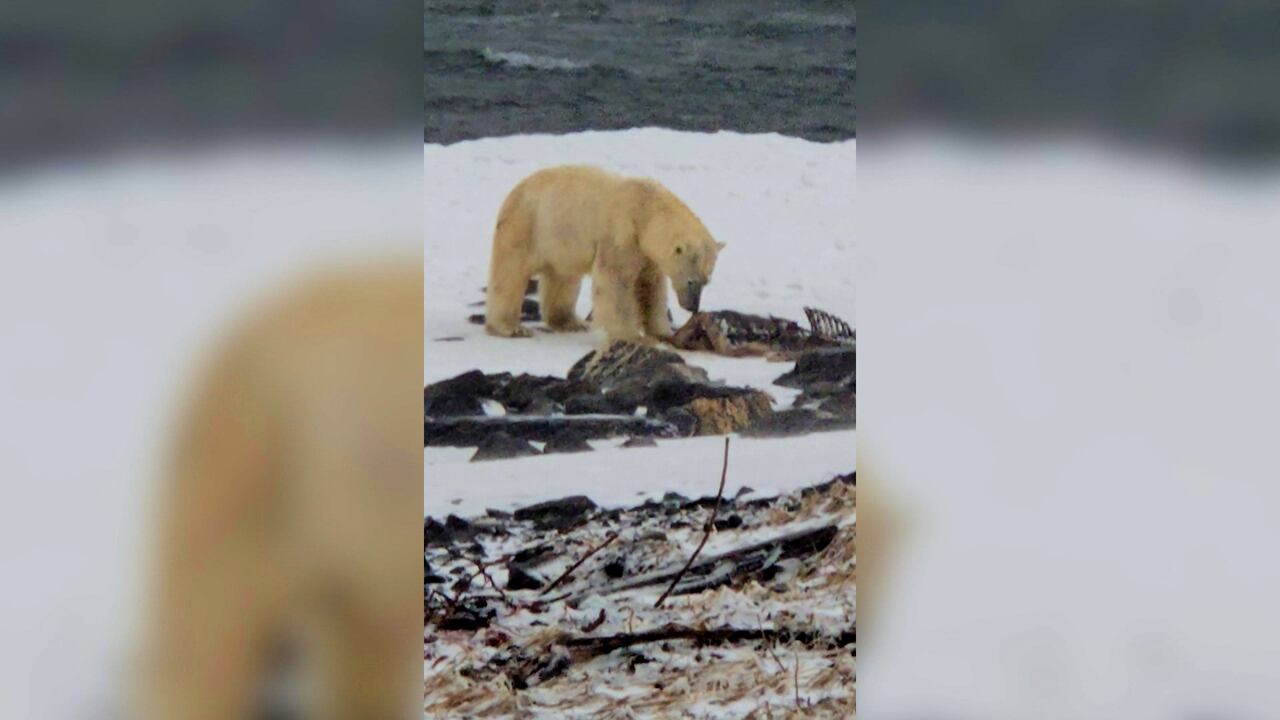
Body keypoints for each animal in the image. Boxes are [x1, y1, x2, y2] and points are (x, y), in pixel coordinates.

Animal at [484, 165, 725, 344]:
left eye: (707, 280)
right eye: (692, 280)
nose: (693, 307)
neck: (646, 208)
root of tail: (514, 191)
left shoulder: (646, 253)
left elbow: (651, 286)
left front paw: (662, 333)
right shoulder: (621, 234)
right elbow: (616, 282)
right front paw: (631, 336)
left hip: (561, 239)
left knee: (563, 278)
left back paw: (571, 322)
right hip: (526, 225)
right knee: (510, 274)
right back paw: (511, 328)